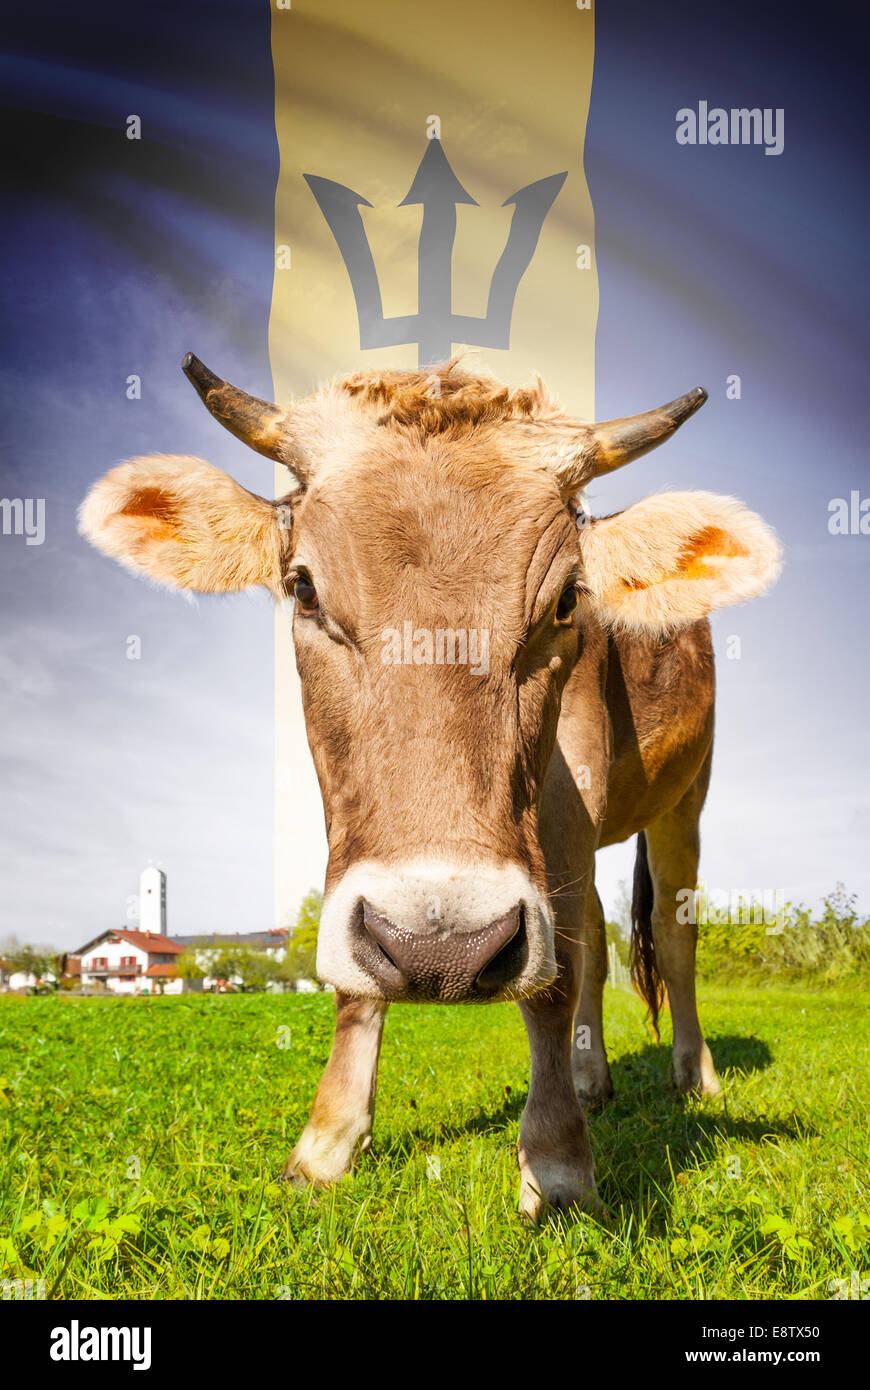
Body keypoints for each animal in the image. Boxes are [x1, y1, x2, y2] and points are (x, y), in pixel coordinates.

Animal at [80, 355, 782, 1221]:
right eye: (303, 588)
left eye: (566, 601)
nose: (440, 949)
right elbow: (362, 974)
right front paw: (327, 1142)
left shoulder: (571, 794)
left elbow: (553, 978)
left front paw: (557, 1162)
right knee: (591, 935)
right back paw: (592, 1081)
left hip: (687, 797)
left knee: (671, 939)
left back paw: (694, 1075)